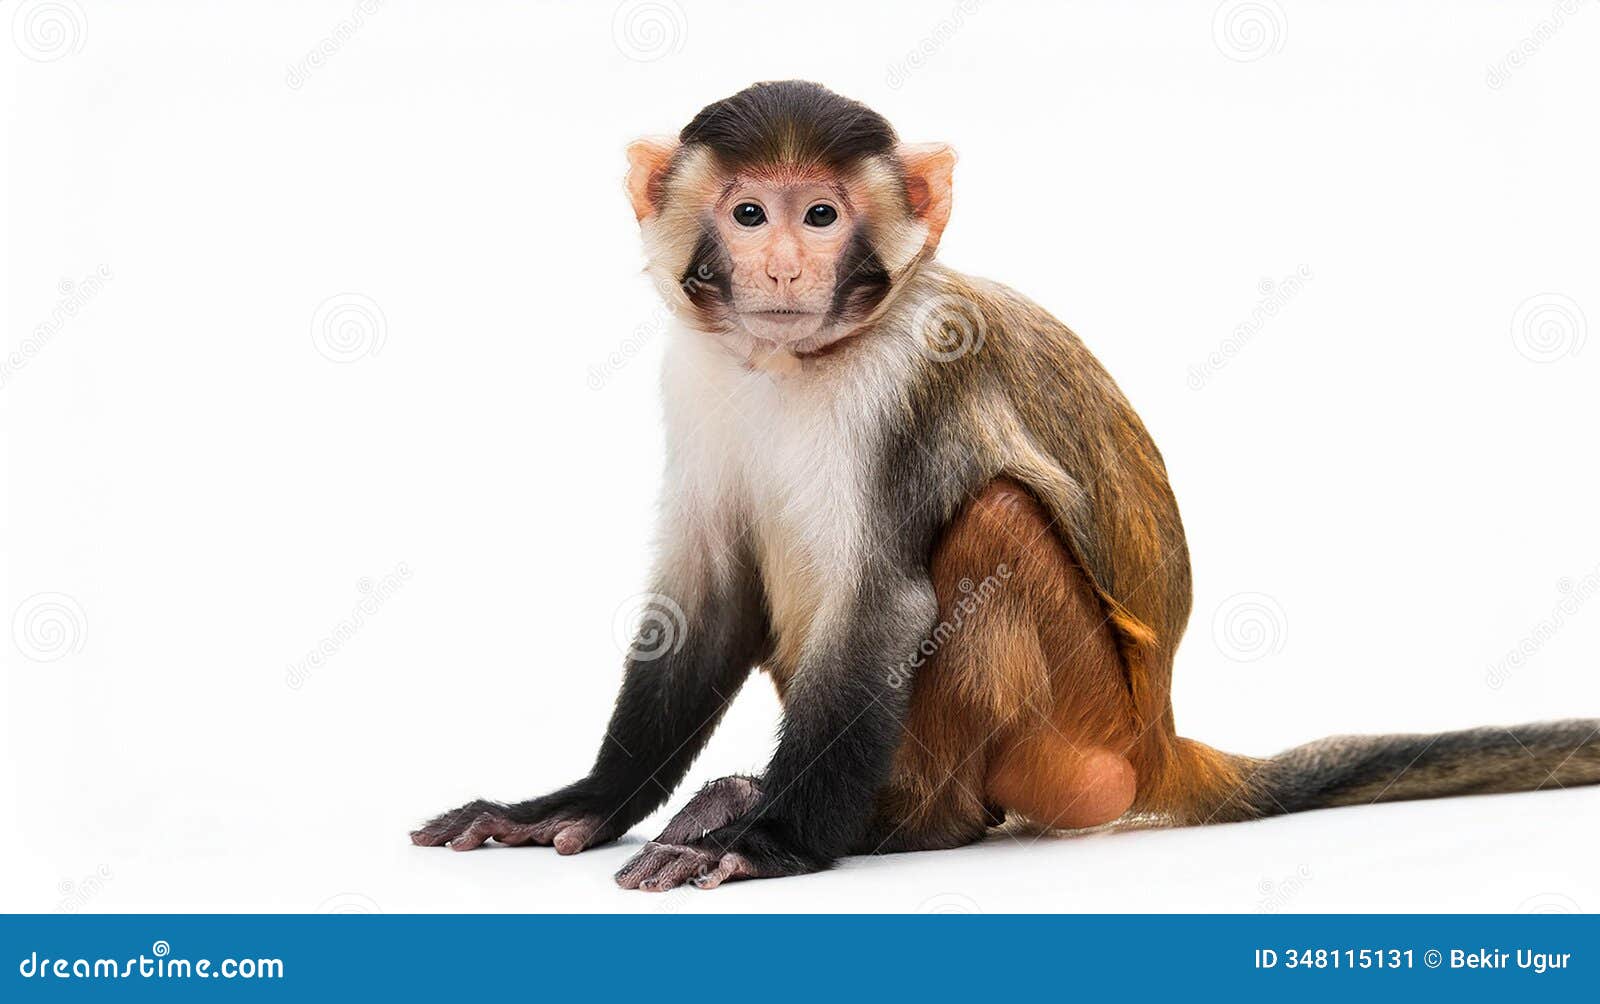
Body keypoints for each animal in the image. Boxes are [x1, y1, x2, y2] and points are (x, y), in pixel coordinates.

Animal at [412, 81, 1600, 891]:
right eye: (752, 215)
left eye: (821, 216)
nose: (786, 266)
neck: (802, 364)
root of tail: (1159, 740)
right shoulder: (698, 374)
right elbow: (702, 600)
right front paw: (580, 800)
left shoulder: (915, 378)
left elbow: (886, 604)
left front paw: (773, 840)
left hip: (1081, 738)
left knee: (993, 520)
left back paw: (881, 822)